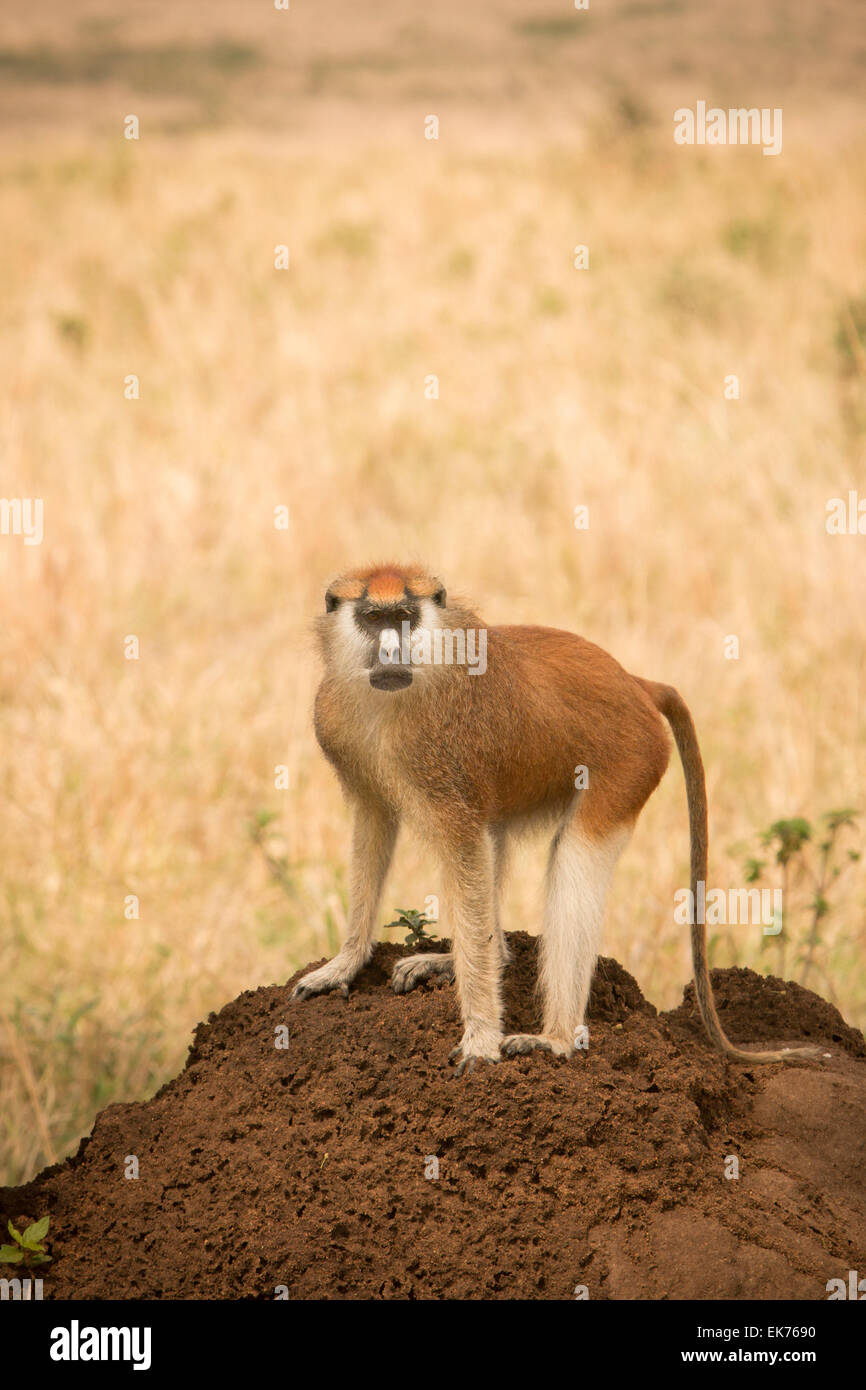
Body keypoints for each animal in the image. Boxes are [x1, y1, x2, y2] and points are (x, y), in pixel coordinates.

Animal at [293, 563, 821, 1074]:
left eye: (405, 617)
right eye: (374, 618)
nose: (390, 649)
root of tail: (633, 681)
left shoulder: (444, 747)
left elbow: (466, 847)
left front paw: (482, 1036)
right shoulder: (334, 722)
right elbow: (376, 824)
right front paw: (346, 963)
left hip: (632, 759)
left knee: (574, 856)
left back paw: (558, 1039)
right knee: (495, 833)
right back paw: (486, 961)